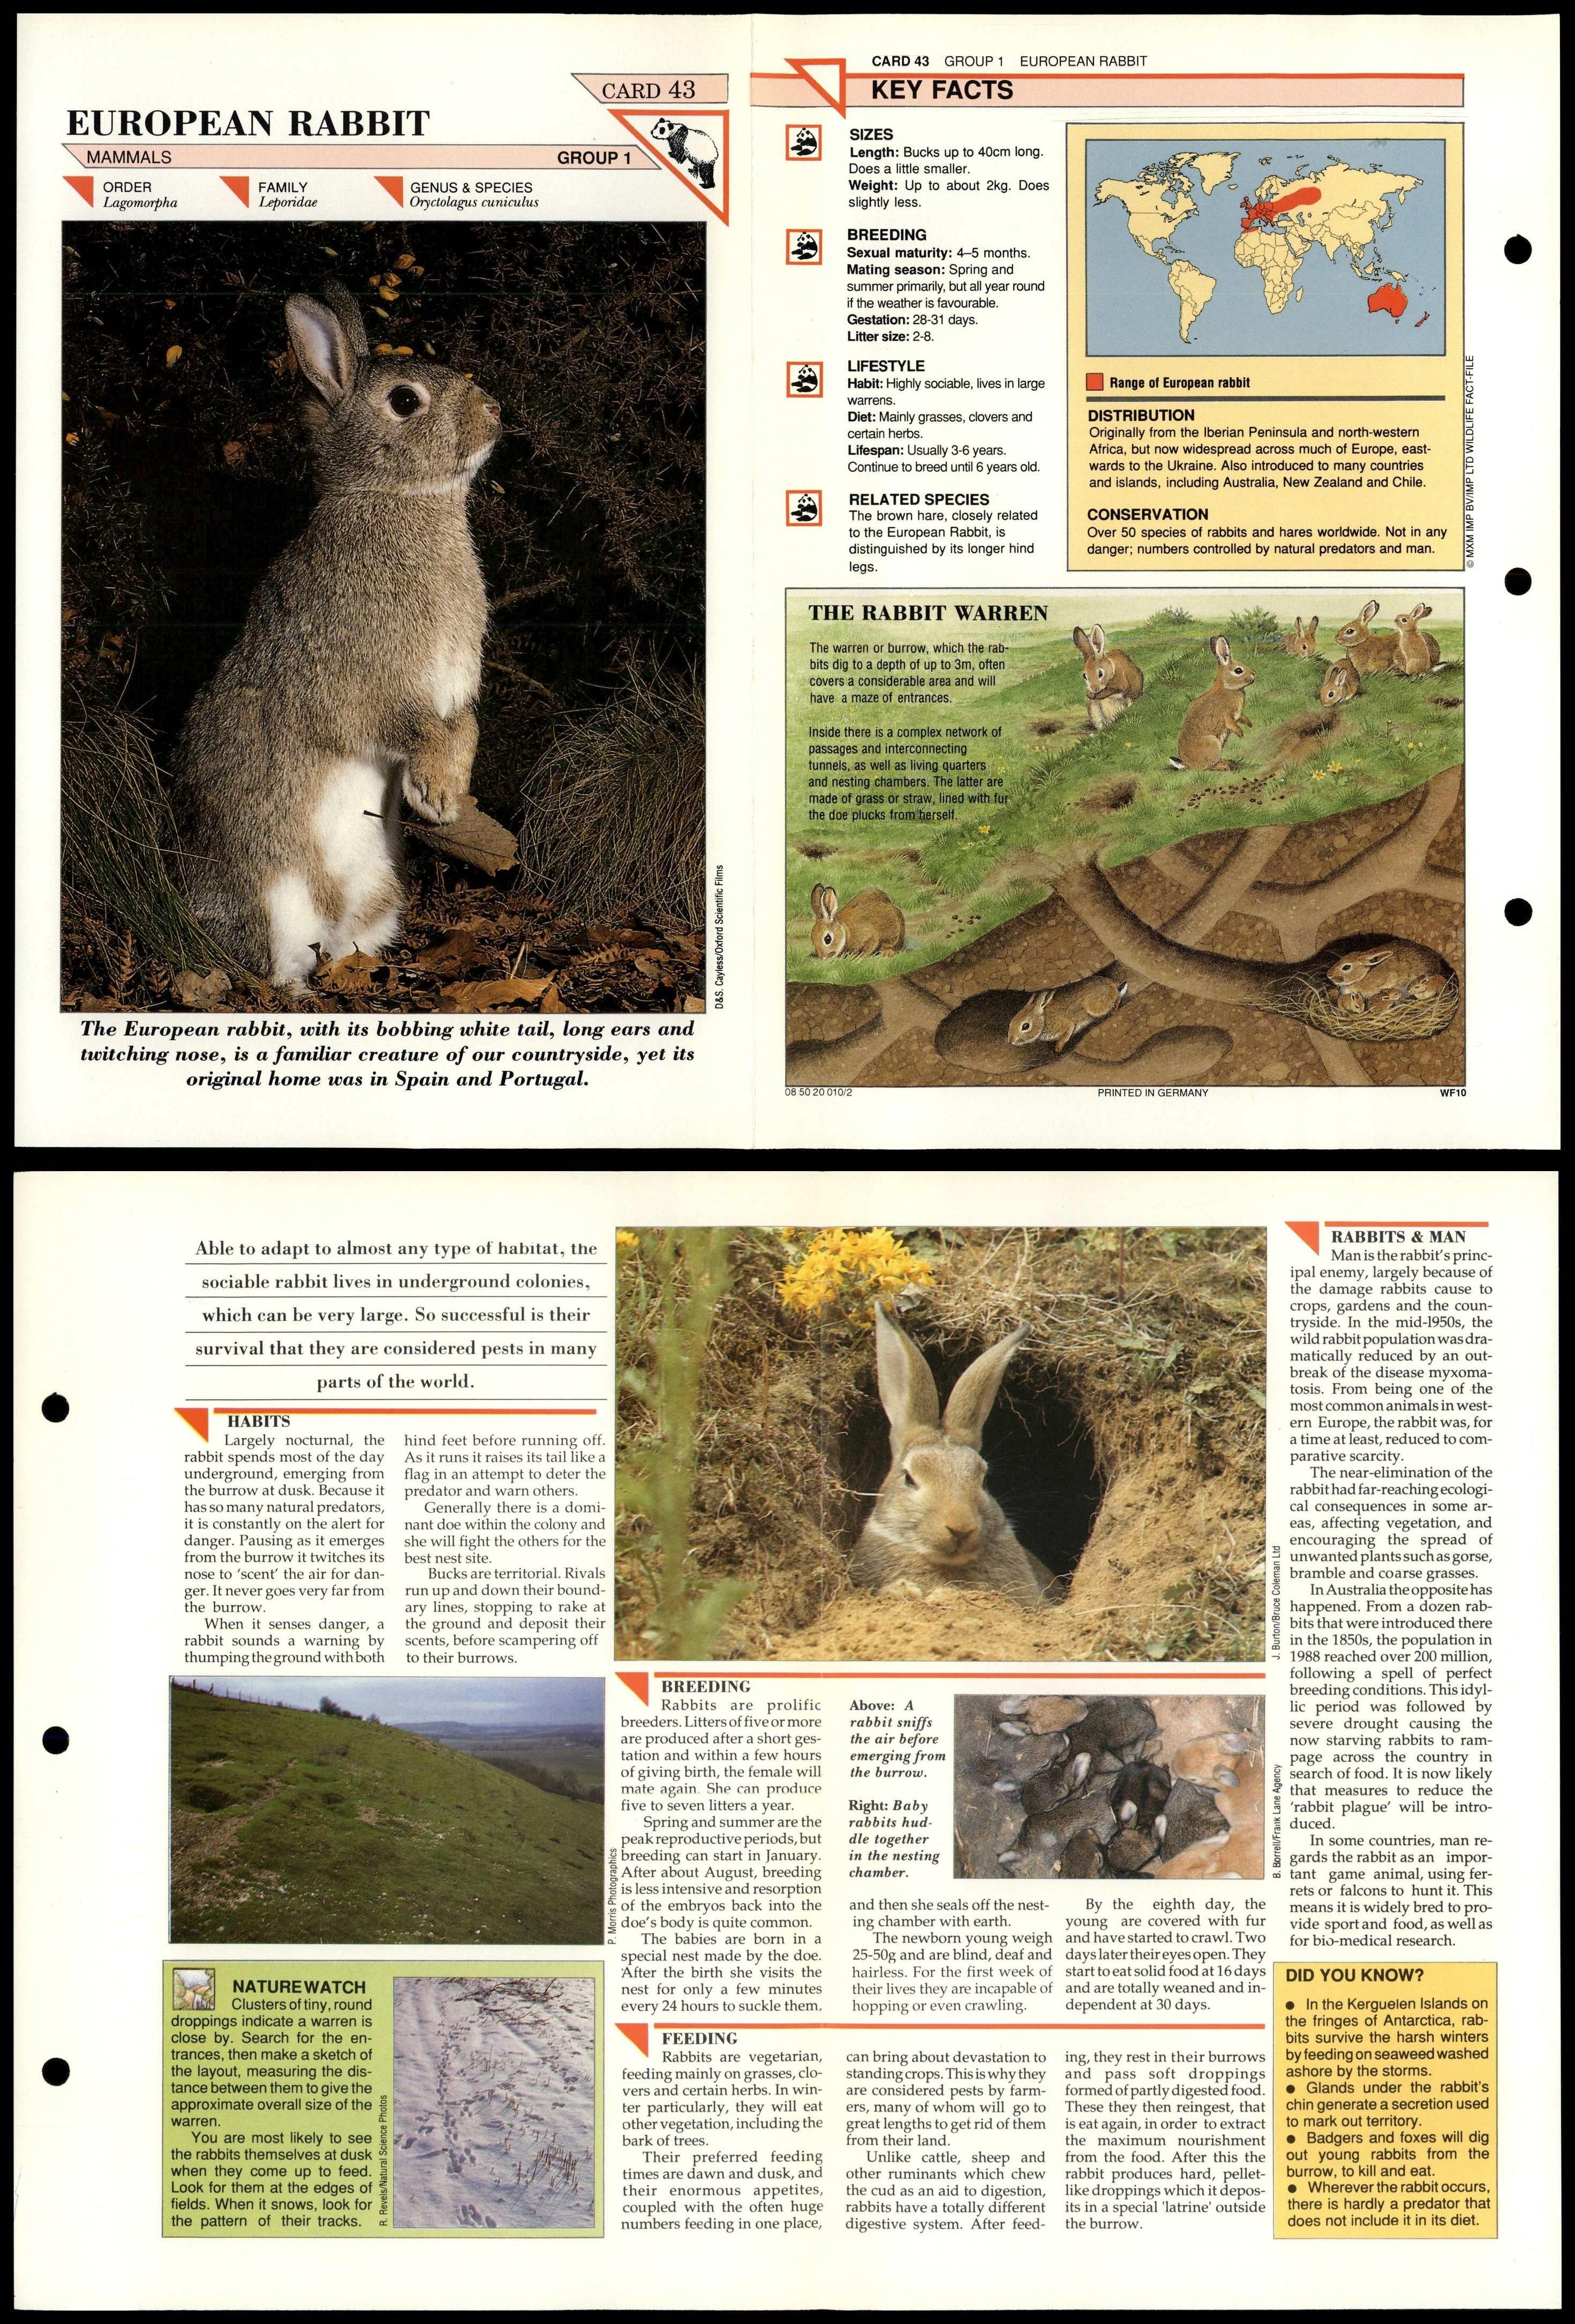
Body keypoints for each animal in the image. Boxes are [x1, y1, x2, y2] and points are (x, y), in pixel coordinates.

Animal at [172, 283, 502, 989]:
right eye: (405, 401)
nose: (494, 411)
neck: (397, 498)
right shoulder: (359, 678)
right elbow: (412, 725)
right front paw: (435, 792)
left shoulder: (456, 686)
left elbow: (463, 726)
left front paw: (444, 797)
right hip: (269, 898)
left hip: (379, 894)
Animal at [809, 884, 905, 959]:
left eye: (828, 939)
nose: (823, 958)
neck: (846, 931)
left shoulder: (872, 935)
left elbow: (871, 946)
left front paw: (859, 957)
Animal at [1008, 975, 1126, 1052]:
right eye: (1011, 1023)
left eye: (1025, 1026)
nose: (1010, 1041)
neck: (1044, 1020)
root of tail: (1112, 985)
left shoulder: (1068, 1025)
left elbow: (1066, 1036)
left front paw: (1058, 1049)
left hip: (1095, 1006)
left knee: (1117, 998)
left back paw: (1113, 1011)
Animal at [1072, 623, 1144, 730]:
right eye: (1085, 676)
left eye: (1100, 673)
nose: (1095, 690)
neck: (1111, 668)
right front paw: (1091, 694)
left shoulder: (1121, 683)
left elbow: (1117, 690)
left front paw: (1099, 695)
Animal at [1167, 635, 1255, 771]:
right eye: (1238, 671)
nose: (1254, 676)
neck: (1227, 687)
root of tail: (1187, 764)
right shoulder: (1226, 715)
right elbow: (1231, 723)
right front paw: (1241, 734)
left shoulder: (1238, 715)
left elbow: (1242, 718)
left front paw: (1250, 724)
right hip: (1214, 745)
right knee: (1210, 767)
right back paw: (1225, 766)